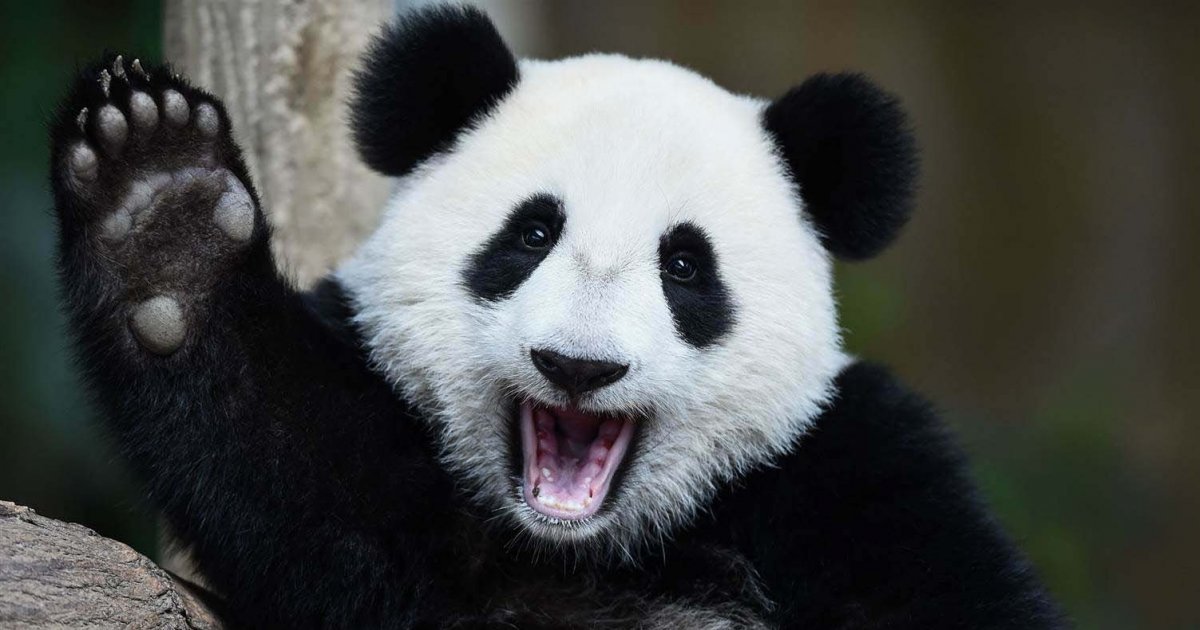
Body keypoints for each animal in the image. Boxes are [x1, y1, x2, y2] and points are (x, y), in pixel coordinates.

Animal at [49, 4, 1064, 629]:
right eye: (533, 233)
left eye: (685, 265)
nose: (579, 367)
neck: (589, 549)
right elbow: (306, 484)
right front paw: (164, 208)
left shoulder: (850, 471)